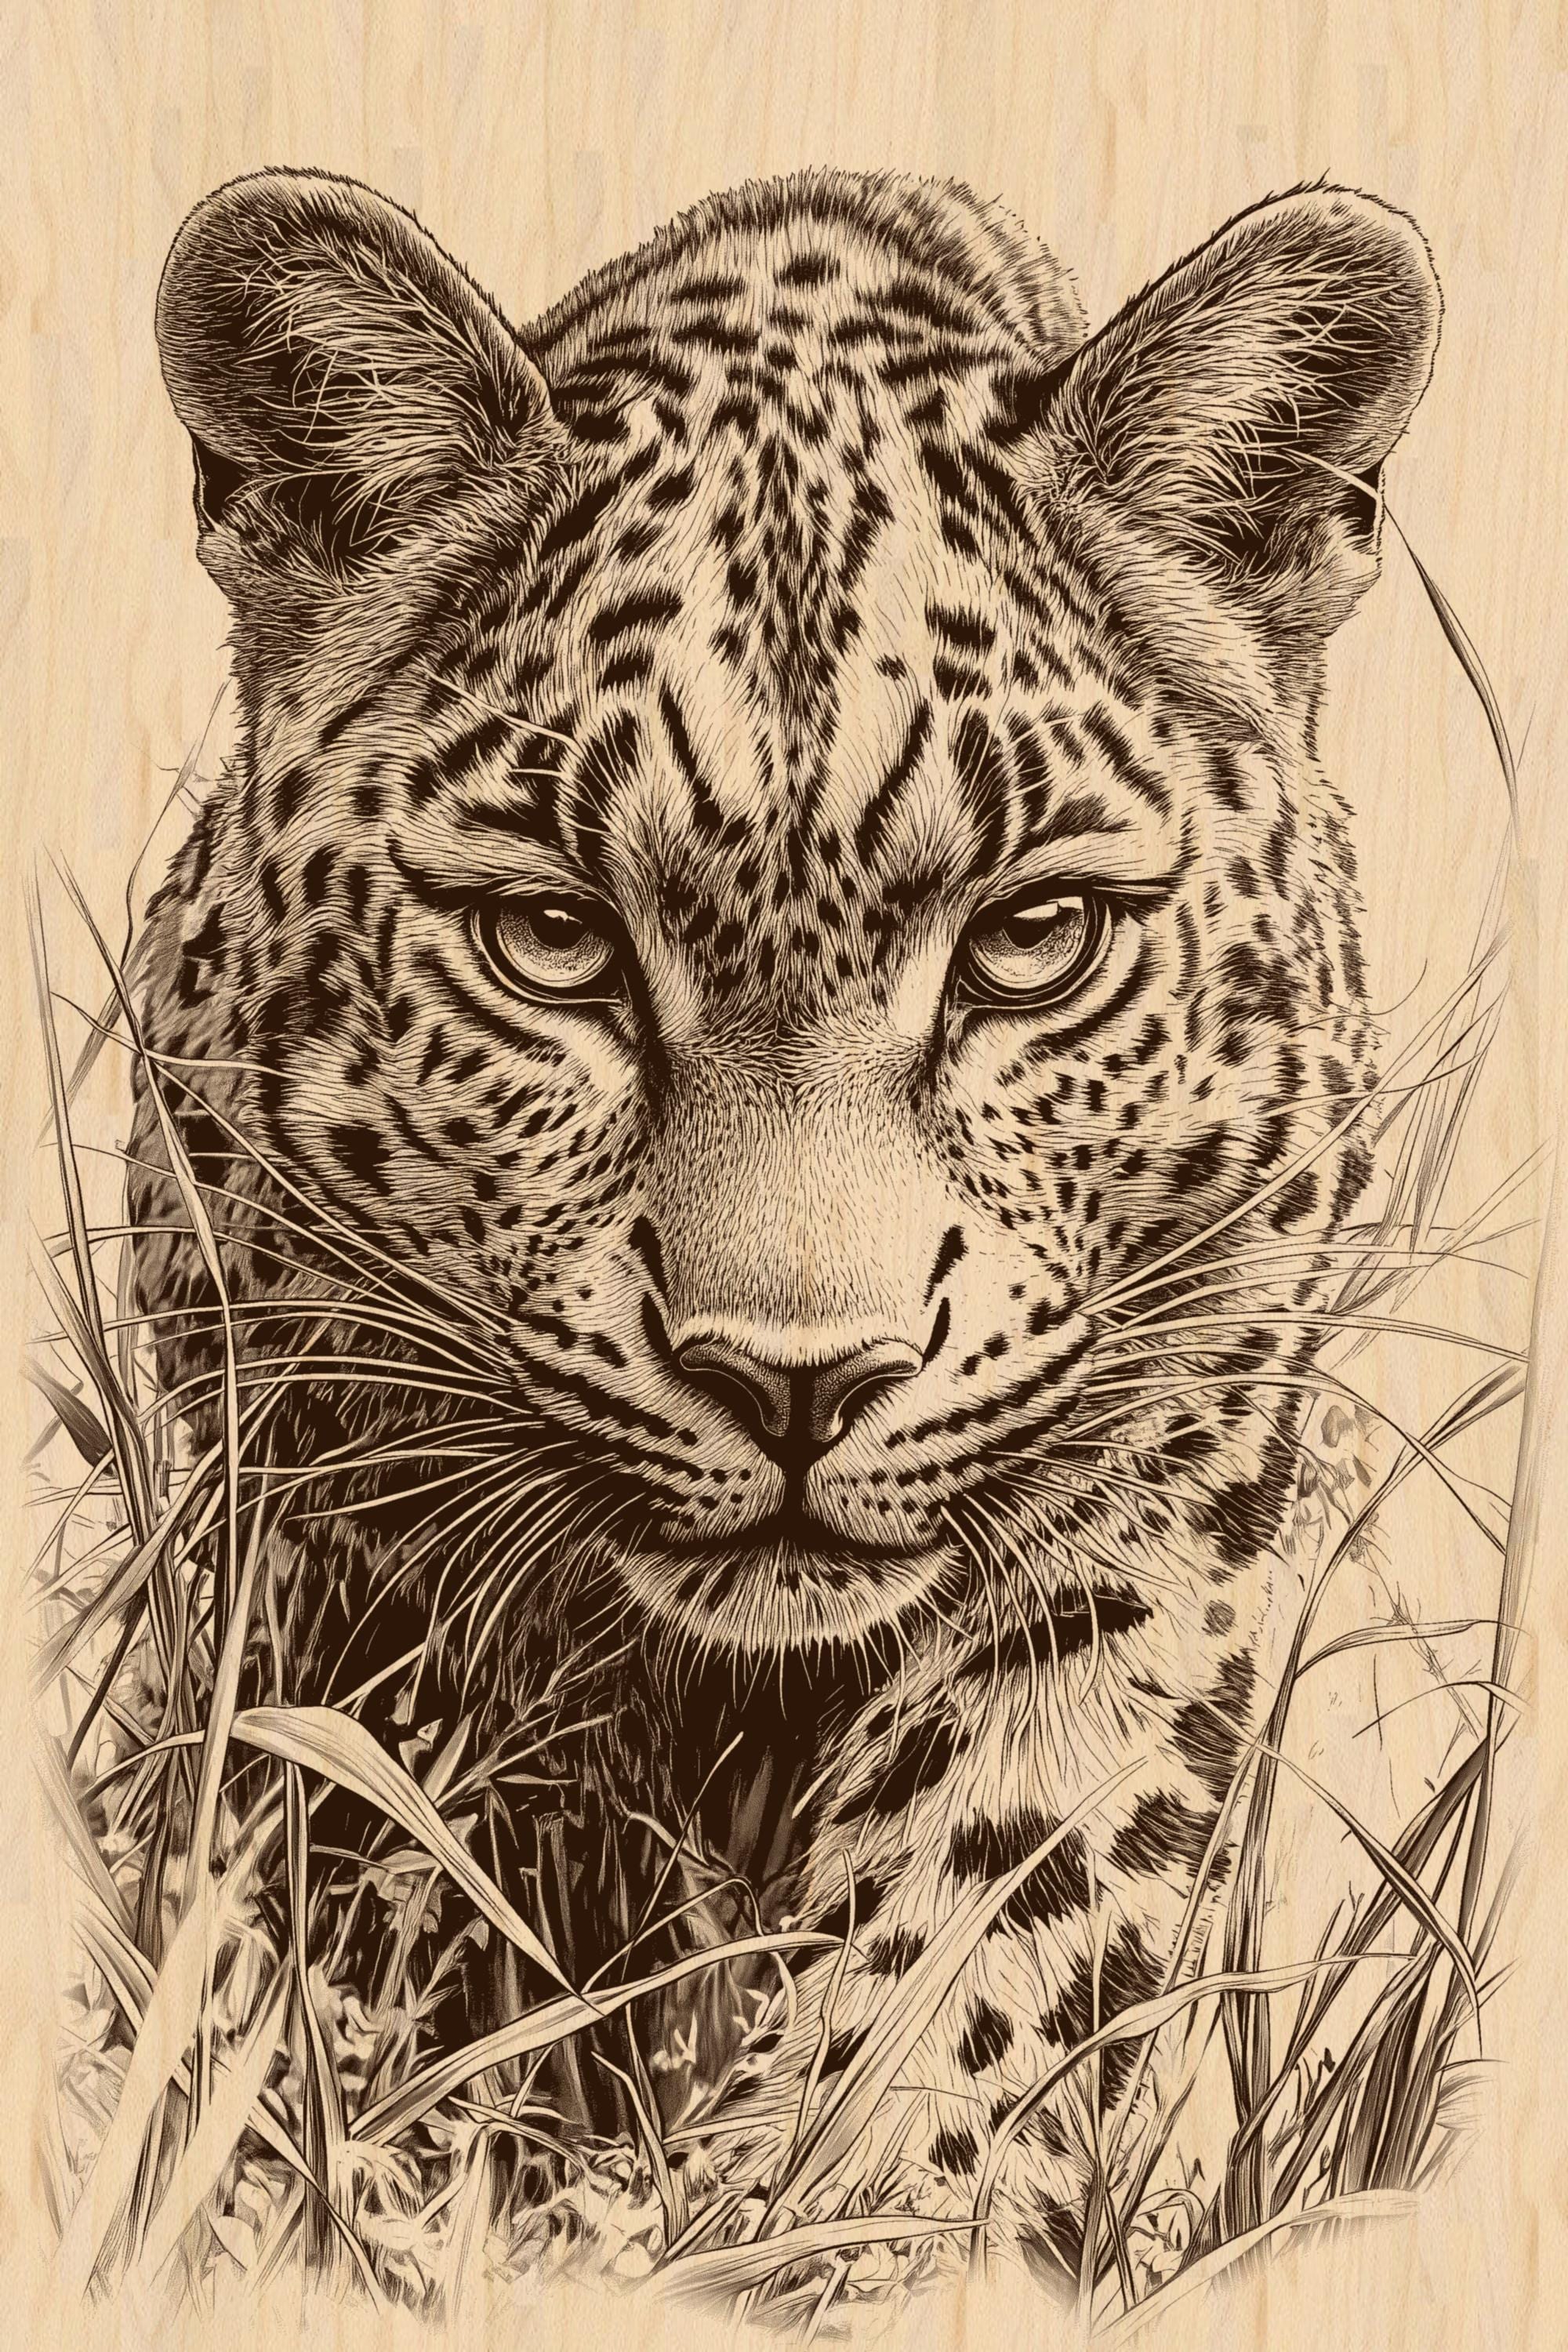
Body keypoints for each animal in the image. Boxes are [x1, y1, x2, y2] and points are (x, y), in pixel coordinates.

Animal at [128, 163, 1439, 2287]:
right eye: (551, 940)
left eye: (1032, 938)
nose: (796, 1383)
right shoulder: (335, 1512)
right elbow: (379, 1874)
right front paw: (404, 2183)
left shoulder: (1148, 1486)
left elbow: (986, 1924)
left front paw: (832, 2236)